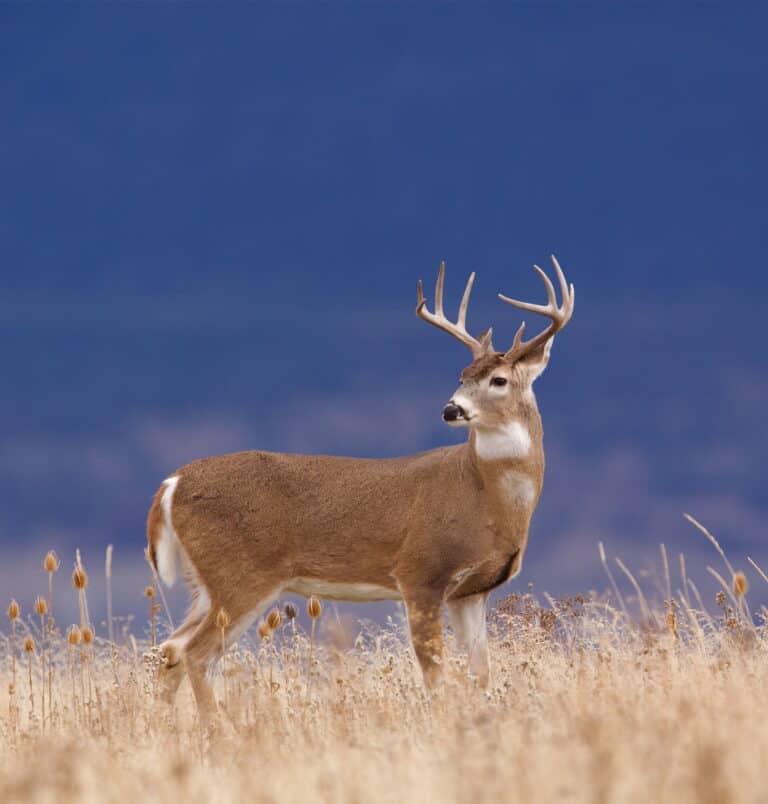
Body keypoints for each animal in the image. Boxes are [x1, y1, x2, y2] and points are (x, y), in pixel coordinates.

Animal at [146, 255, 574, 718]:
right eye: (461, 376)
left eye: (498, 379)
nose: (451, 409)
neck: (487, 499)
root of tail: (172, 483)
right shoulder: (420, 572)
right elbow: (436, 674)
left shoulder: (472, 592)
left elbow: (481, 674)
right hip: (239, 574)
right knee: (195, 653)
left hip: (206, 584)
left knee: (170, 649)